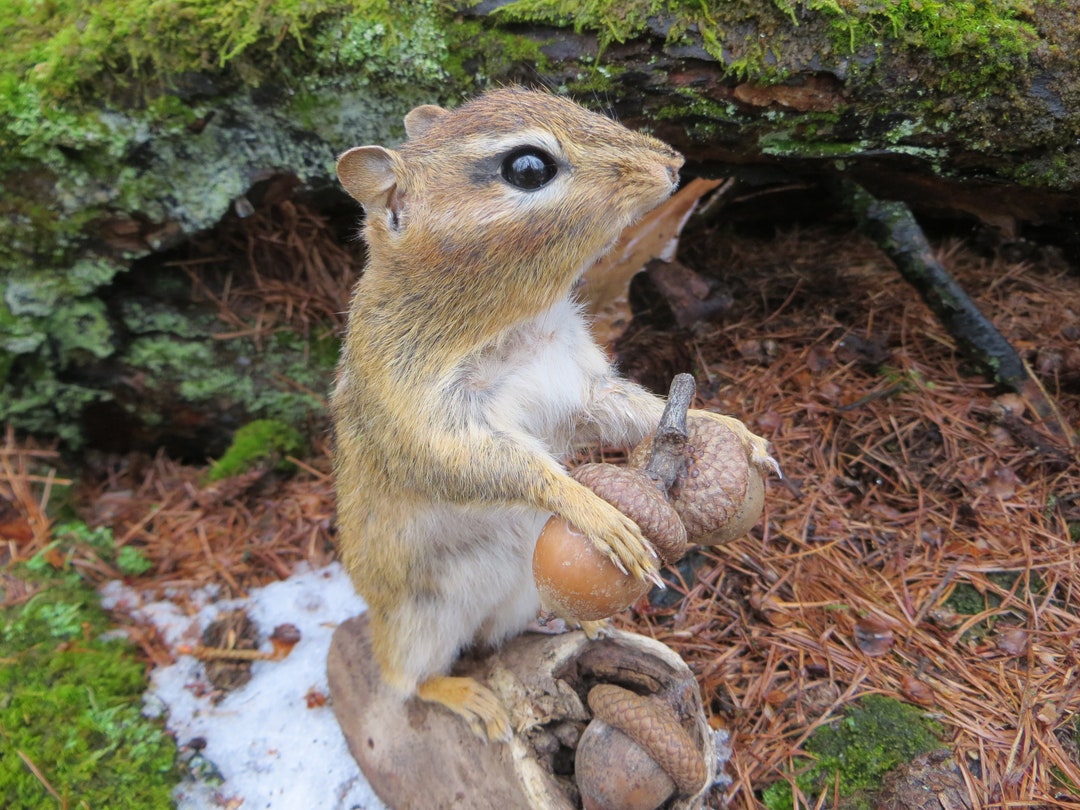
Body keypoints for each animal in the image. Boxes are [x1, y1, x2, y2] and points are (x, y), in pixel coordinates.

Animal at [331, 86, 776, 742]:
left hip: (518, 591)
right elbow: (502, 468)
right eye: (527, 167)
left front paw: (733, 430)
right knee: (407, 678)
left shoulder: (580, 389)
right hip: (420, 626)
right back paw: (467, 695)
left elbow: (634, 412)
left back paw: (579, 624)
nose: (672, 162)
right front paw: (596, 511)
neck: (521, 321)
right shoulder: (426, 420)